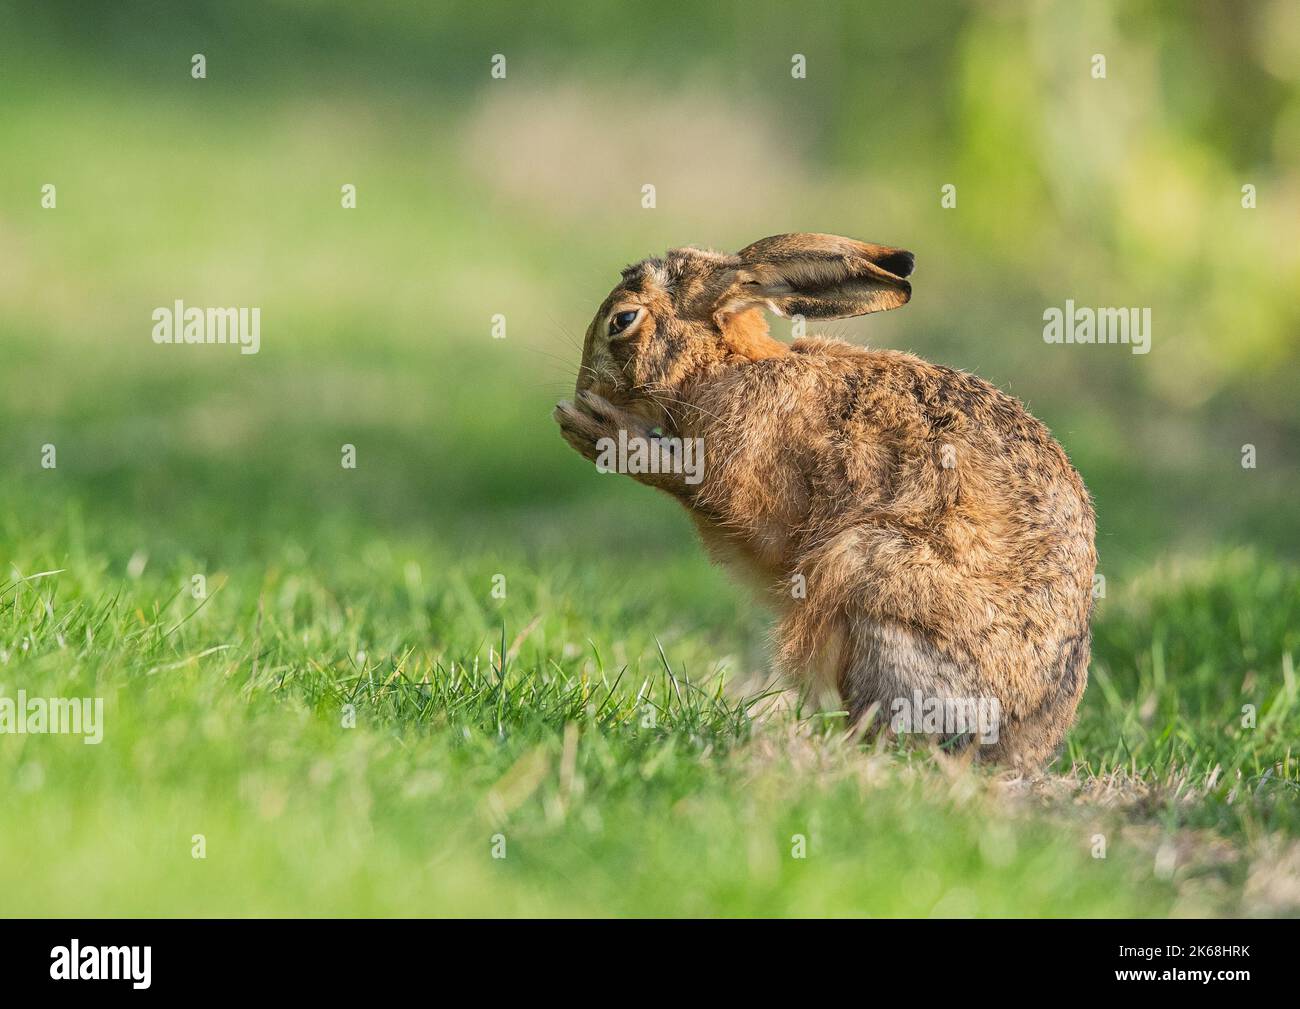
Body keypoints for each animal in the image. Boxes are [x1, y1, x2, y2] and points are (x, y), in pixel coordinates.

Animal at [554, 233, 1096, 770]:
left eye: (622, 319)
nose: (584, 389)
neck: (725, 368)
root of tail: (1020, 744)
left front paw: (596, 429)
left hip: (870, 575)